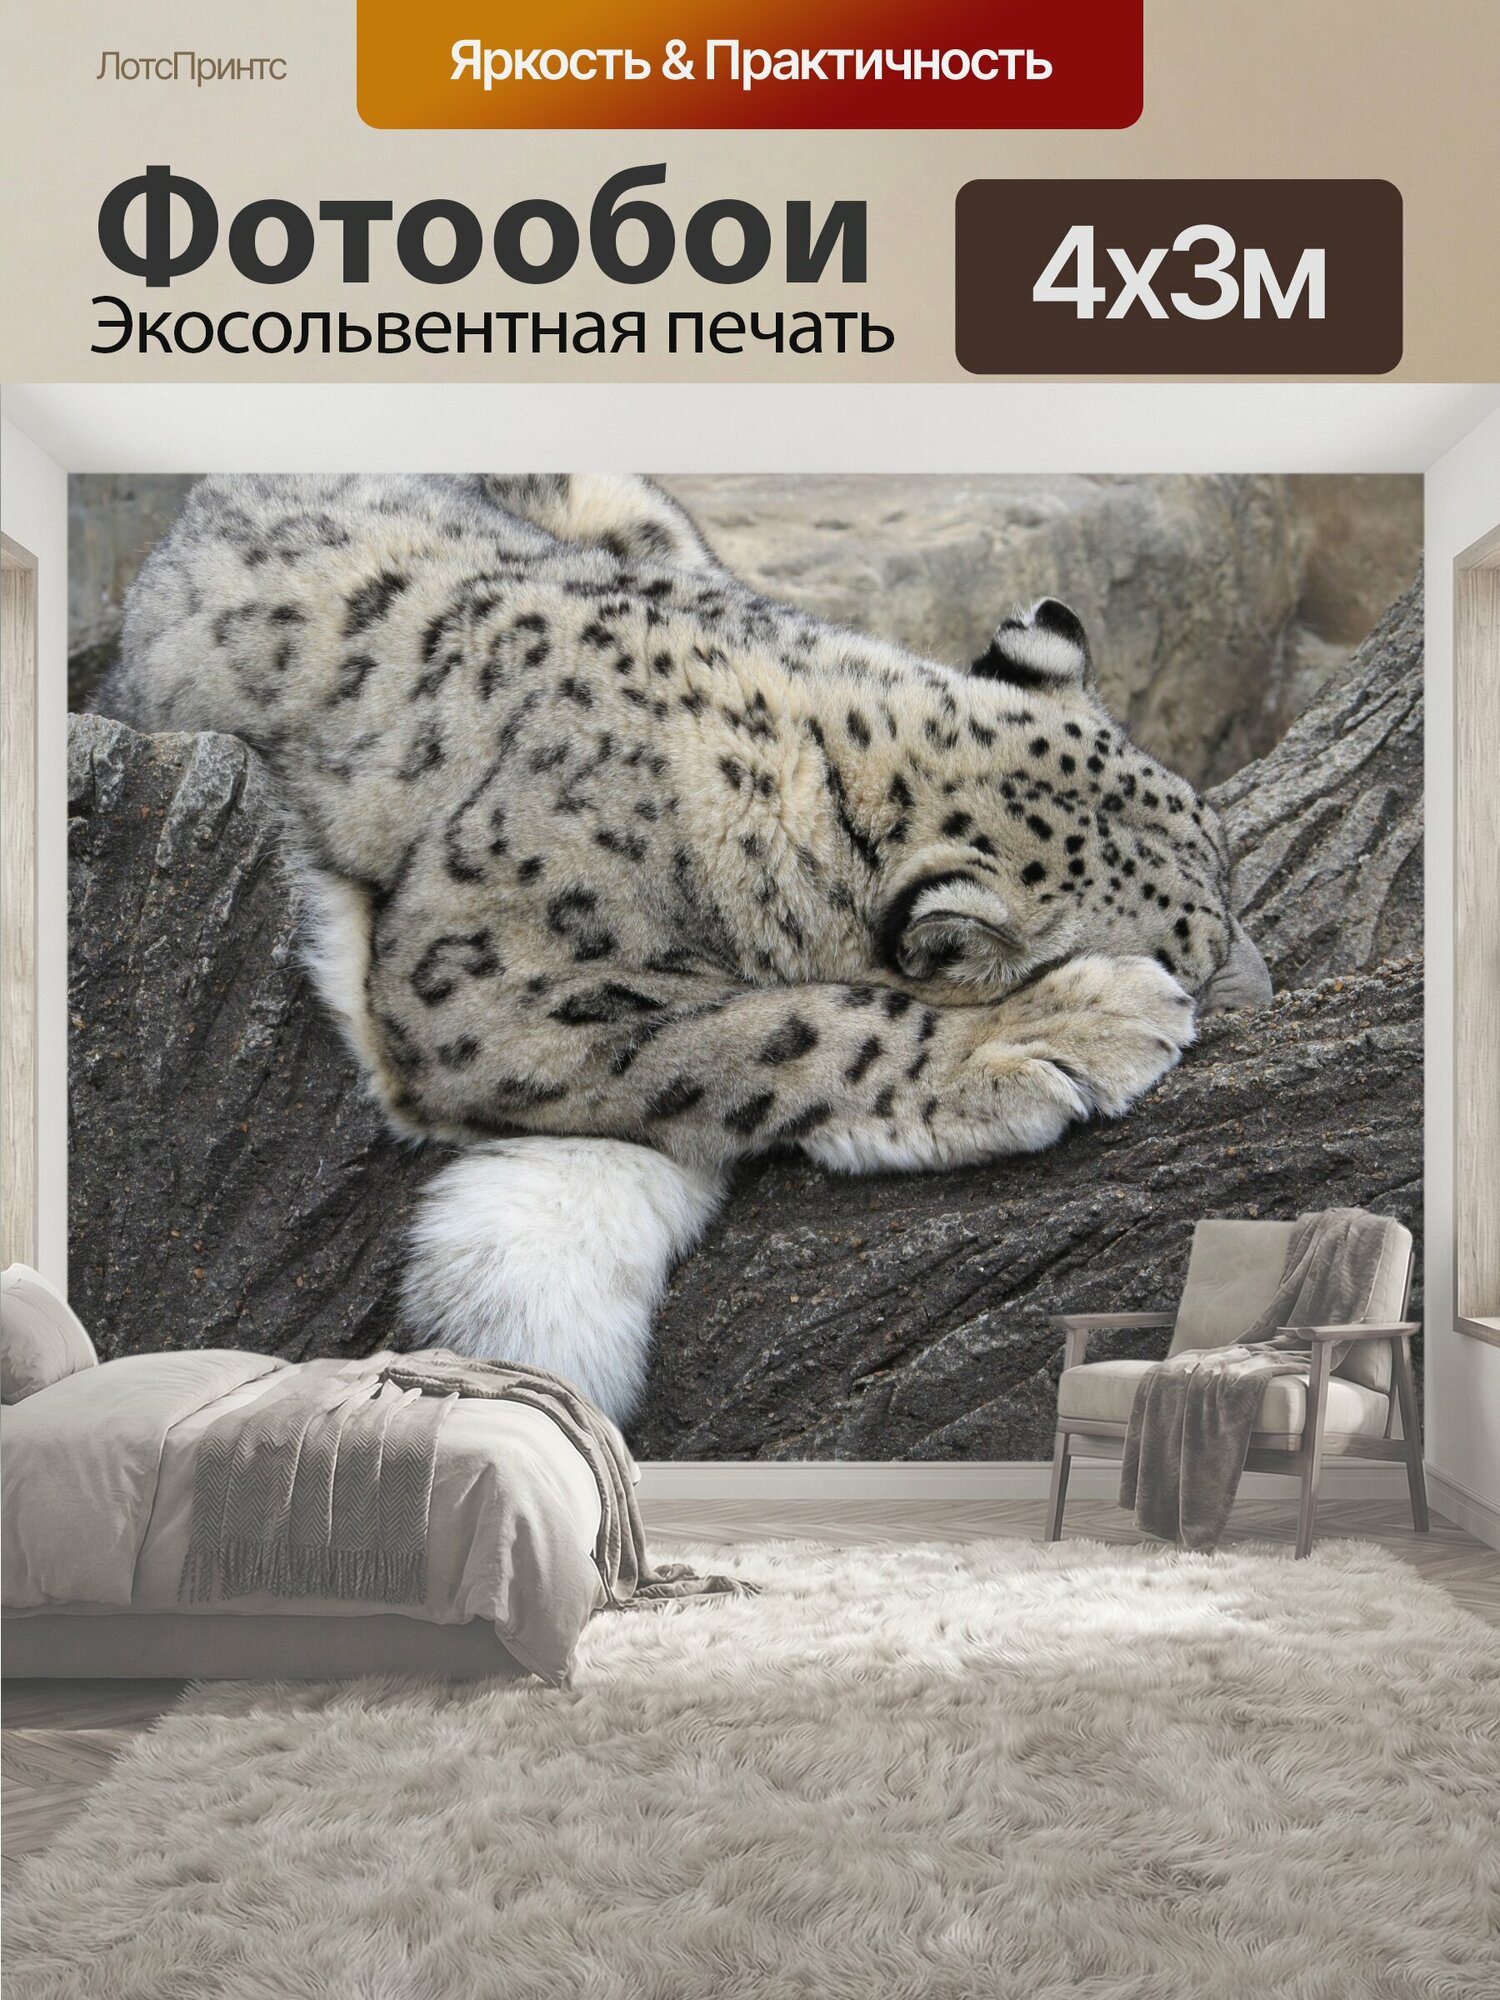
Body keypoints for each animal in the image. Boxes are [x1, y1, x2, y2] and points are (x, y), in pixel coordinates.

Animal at [99, 473, 1271, 1419]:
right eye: (1187, 952)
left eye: (1226, 865)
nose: (1258, 987)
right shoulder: (474, 991)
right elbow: (775, 1031)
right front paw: (1068, 1027)